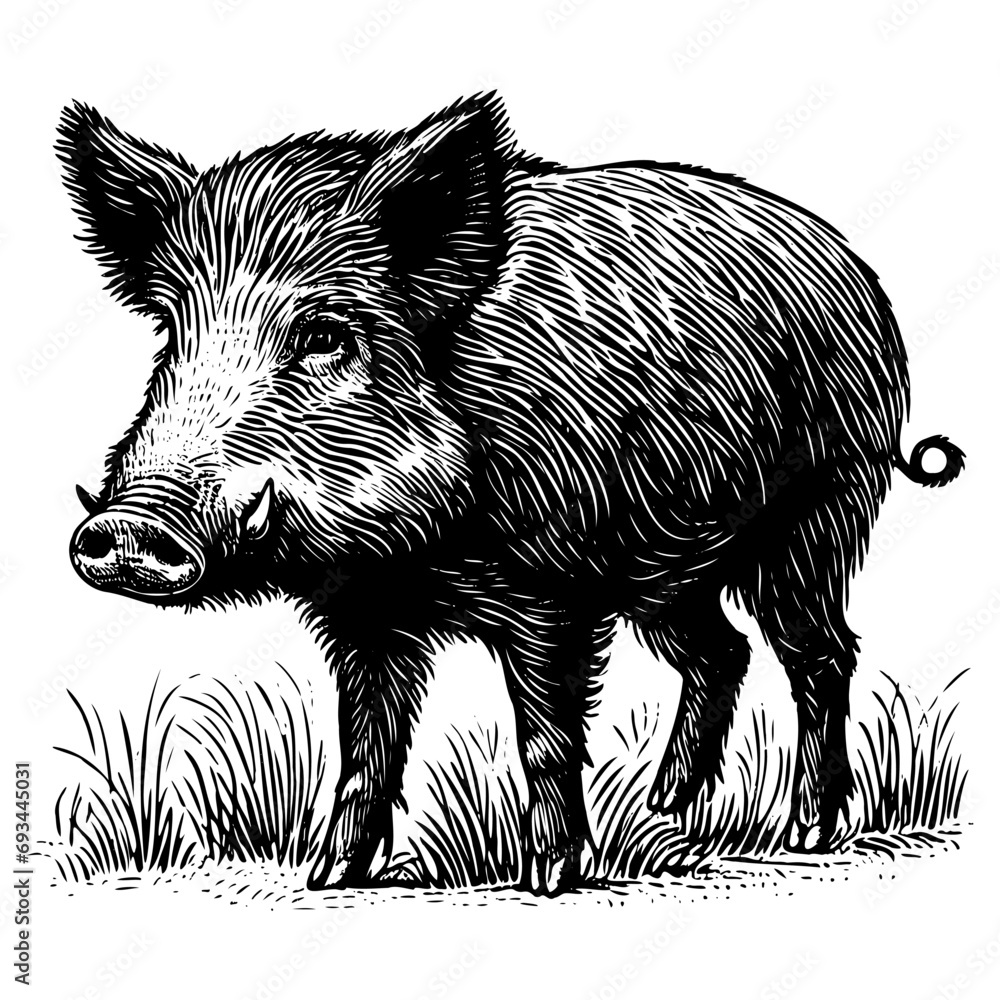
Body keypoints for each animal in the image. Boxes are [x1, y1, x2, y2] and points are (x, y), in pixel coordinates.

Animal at [58, 93, 964, 896]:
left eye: (323, 336)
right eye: (172, 333)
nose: (127, 525)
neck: (420, 554)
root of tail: (859, 276)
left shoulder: (555, 587)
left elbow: (547, 736)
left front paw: (549, 881)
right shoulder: (364, 612)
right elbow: (366, 742)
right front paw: (329, 877)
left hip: (816, 515)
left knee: (820, 651)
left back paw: (805, 832)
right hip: (669, 570)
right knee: (722, 651)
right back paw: (665, 819)